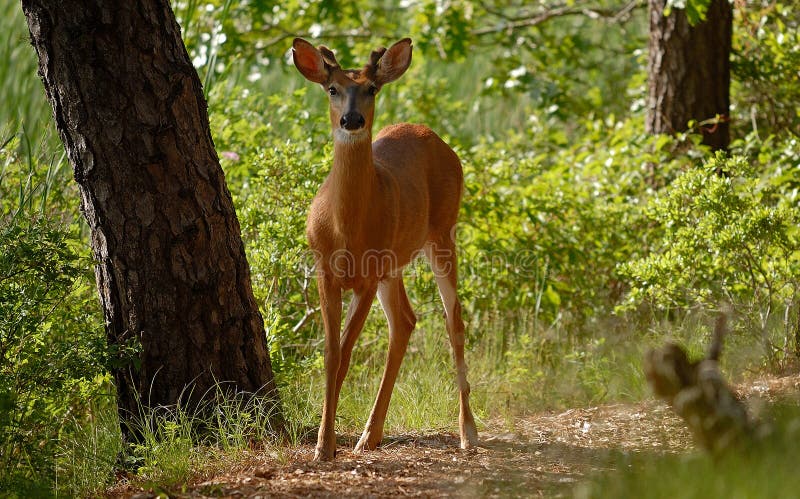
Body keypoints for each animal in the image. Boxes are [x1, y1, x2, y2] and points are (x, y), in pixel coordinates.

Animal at [291, 37, 478, 461]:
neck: (346, 230)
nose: (352, 120)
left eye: (371, 89)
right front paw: (324, 444)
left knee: (454, 321)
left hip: (442, 233)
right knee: (405, 320)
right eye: (333, 89)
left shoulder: (365, 278)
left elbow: (345, 354)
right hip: (393, 262)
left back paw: (468, 433)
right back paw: (370, 435)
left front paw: (326, 444)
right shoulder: (325, 269)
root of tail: (432, 134)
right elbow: (331, 354)